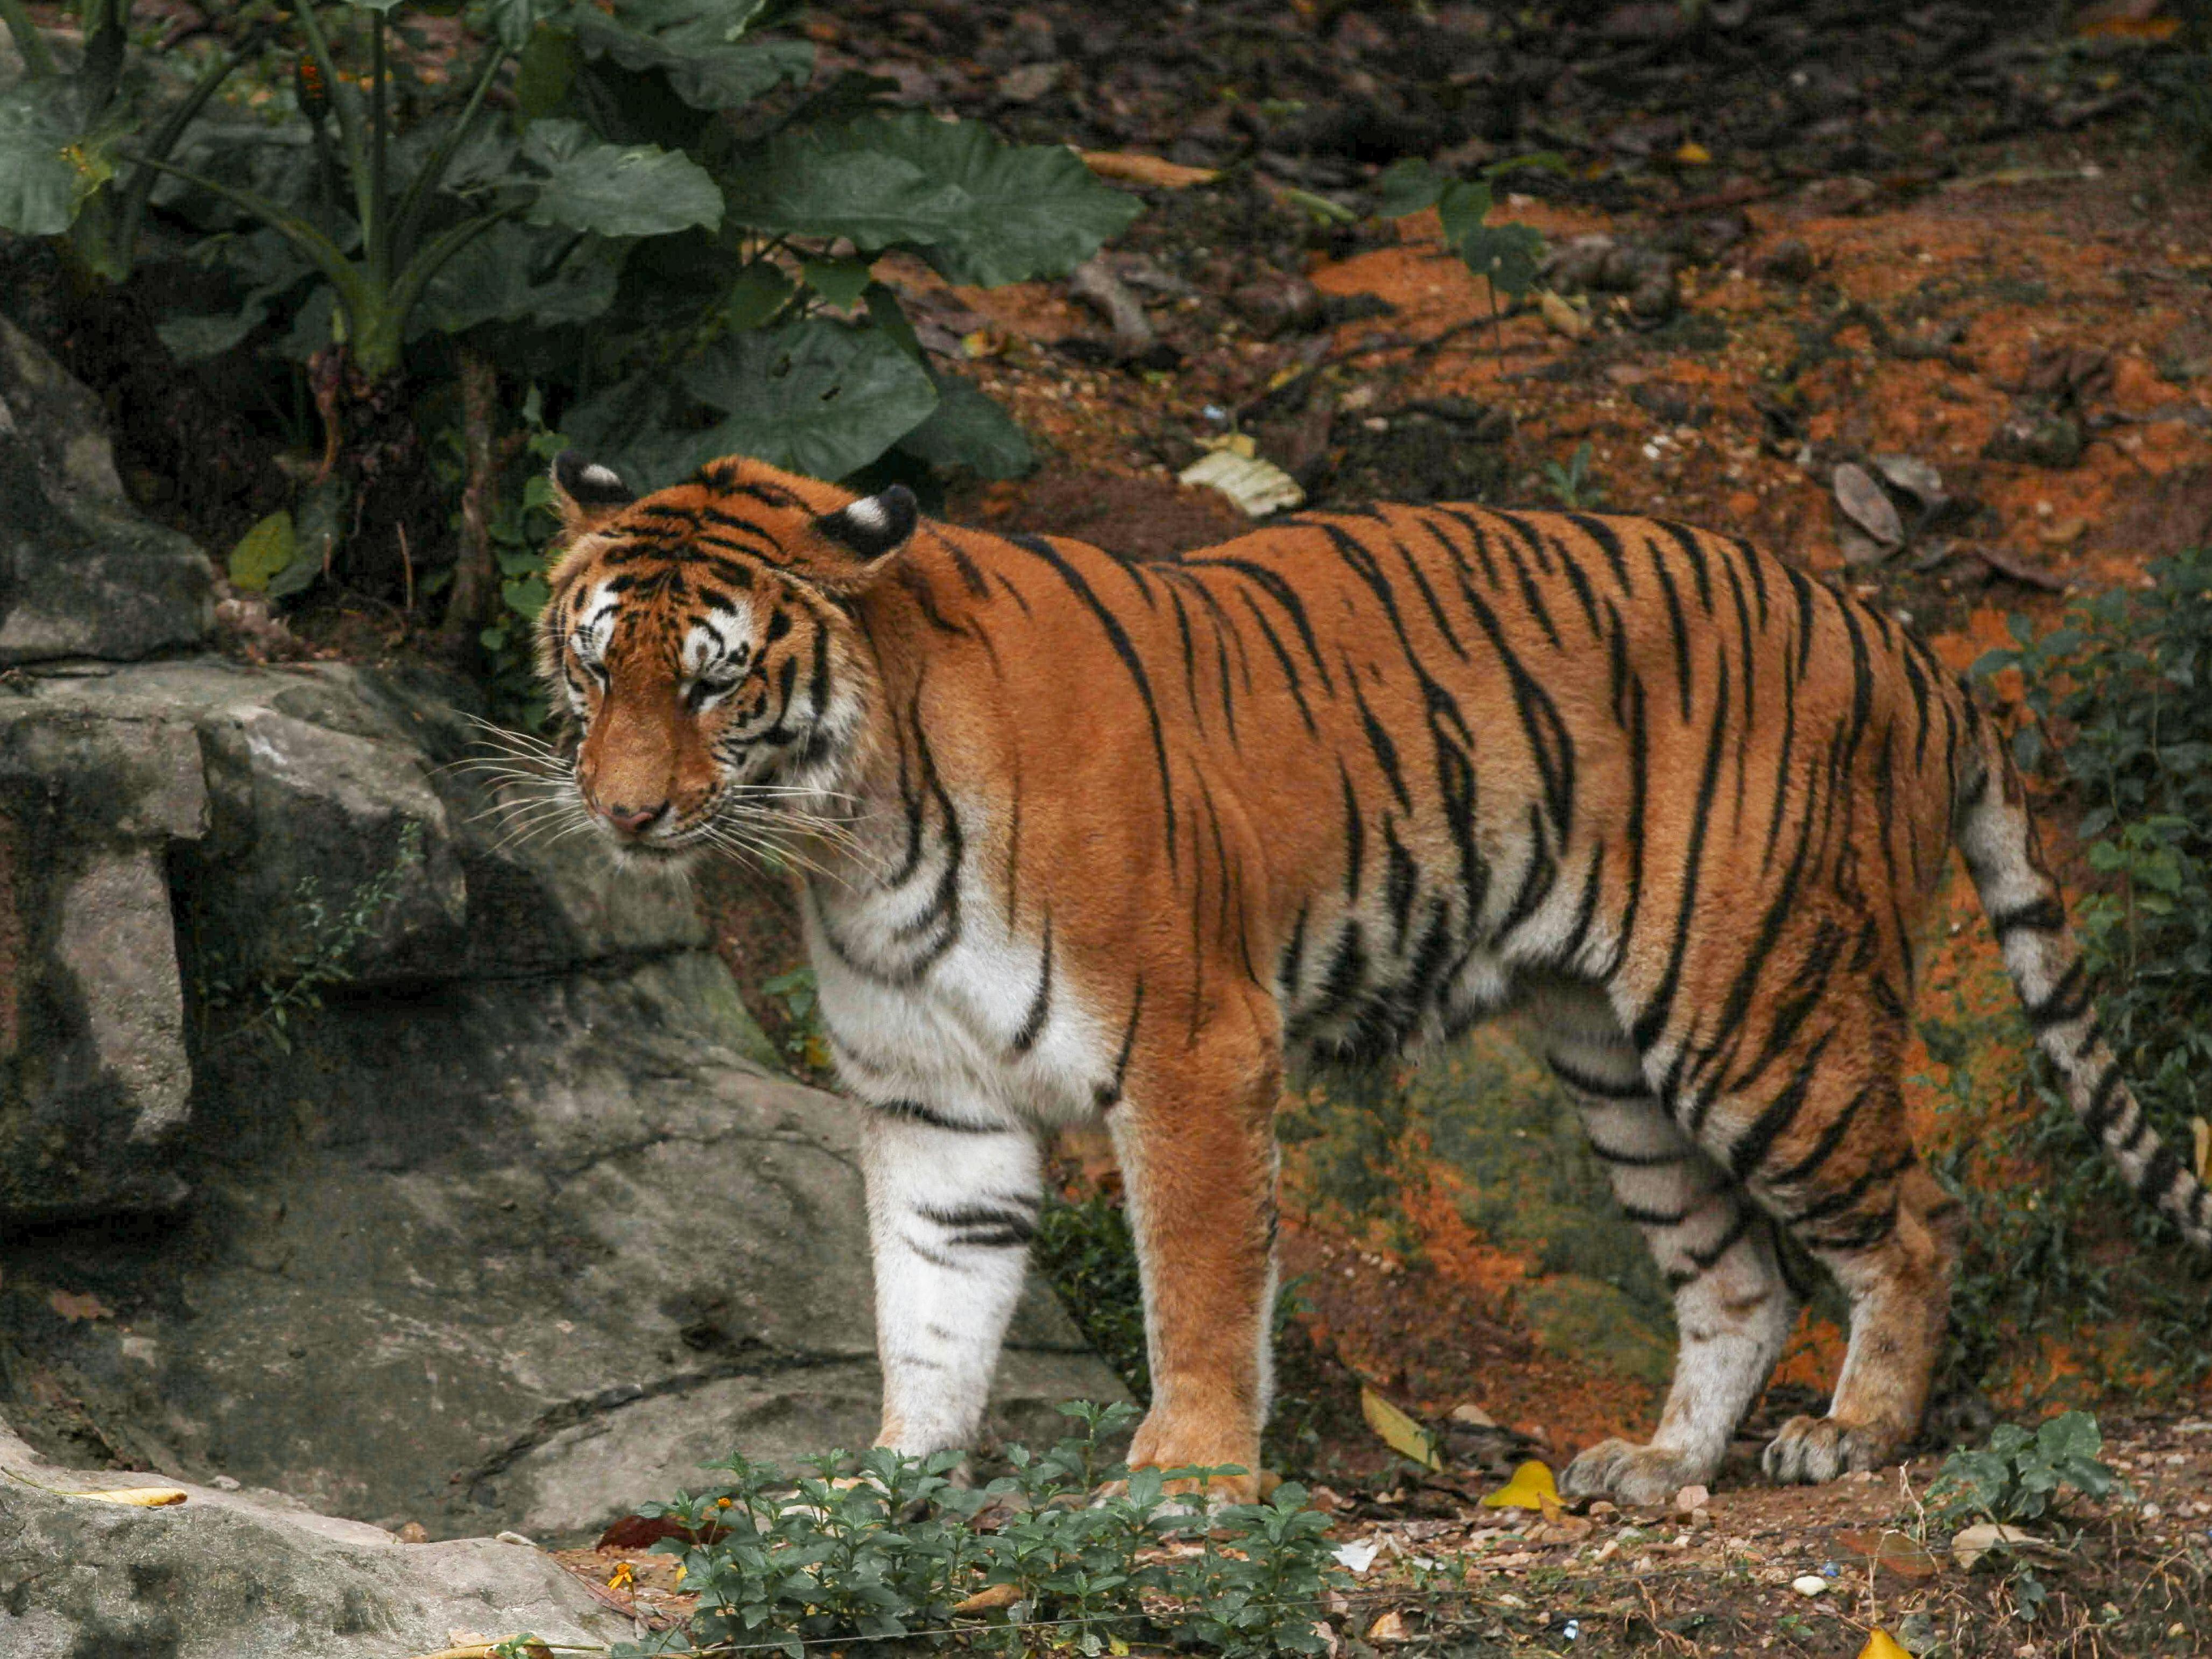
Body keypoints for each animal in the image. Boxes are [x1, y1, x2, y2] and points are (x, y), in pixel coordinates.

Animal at [533, 448, 2211, 1507]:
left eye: (714, 687)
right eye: (594, 666)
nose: (623, 813)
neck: (852, 830)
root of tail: (1907, 645)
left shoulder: (1194, 1050)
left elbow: (1200, 1288)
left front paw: (1189, 1480)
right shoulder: (933, 1099)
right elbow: (932, 1303)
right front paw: (892, 1483)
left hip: (1759, 1016)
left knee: (1918, 1219)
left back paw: (1851, 1436)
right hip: (1616, 1059)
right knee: (1738, 1272)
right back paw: (1661, 1466)